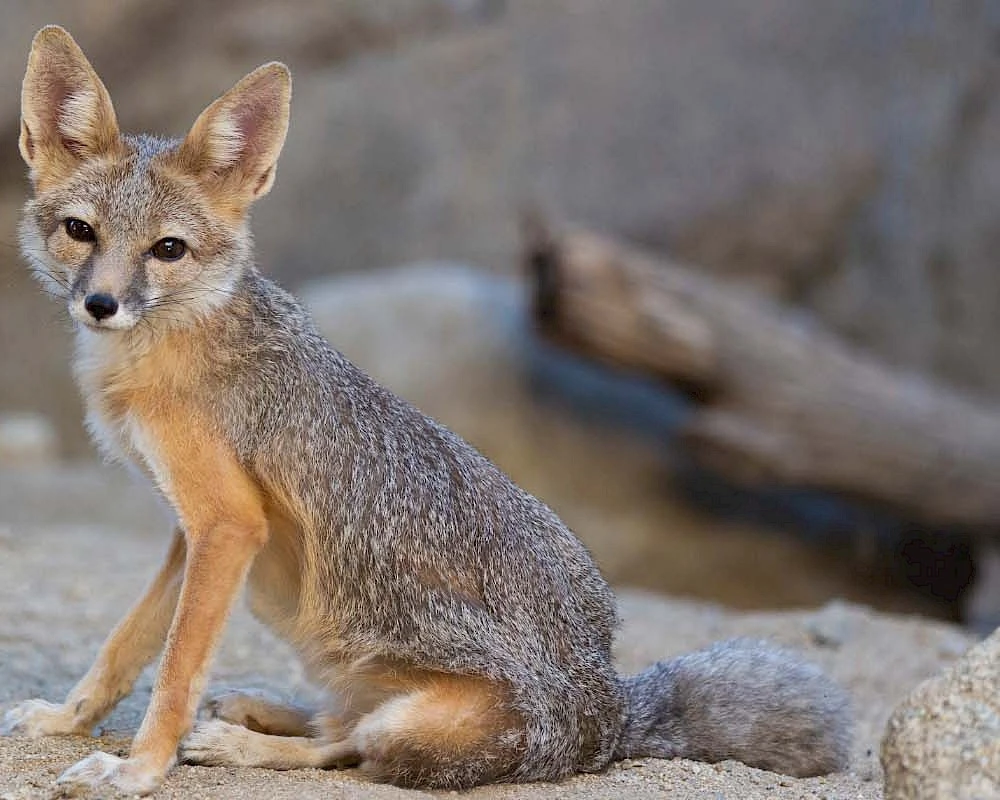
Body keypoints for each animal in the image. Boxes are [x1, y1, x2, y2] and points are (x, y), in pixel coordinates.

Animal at [0, 25, 851, 797]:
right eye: (81, 232)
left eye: (168, 250)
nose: (102, 304)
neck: (163, 348)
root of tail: (608, 715)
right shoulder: (193, 531)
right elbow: (127, 643)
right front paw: (69, 720)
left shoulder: (227, 524)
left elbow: (176, 670)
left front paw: (139, 768)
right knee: (334, 721)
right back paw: (258, 709)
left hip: (398, 715)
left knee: (346, 748)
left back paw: (240, 740)